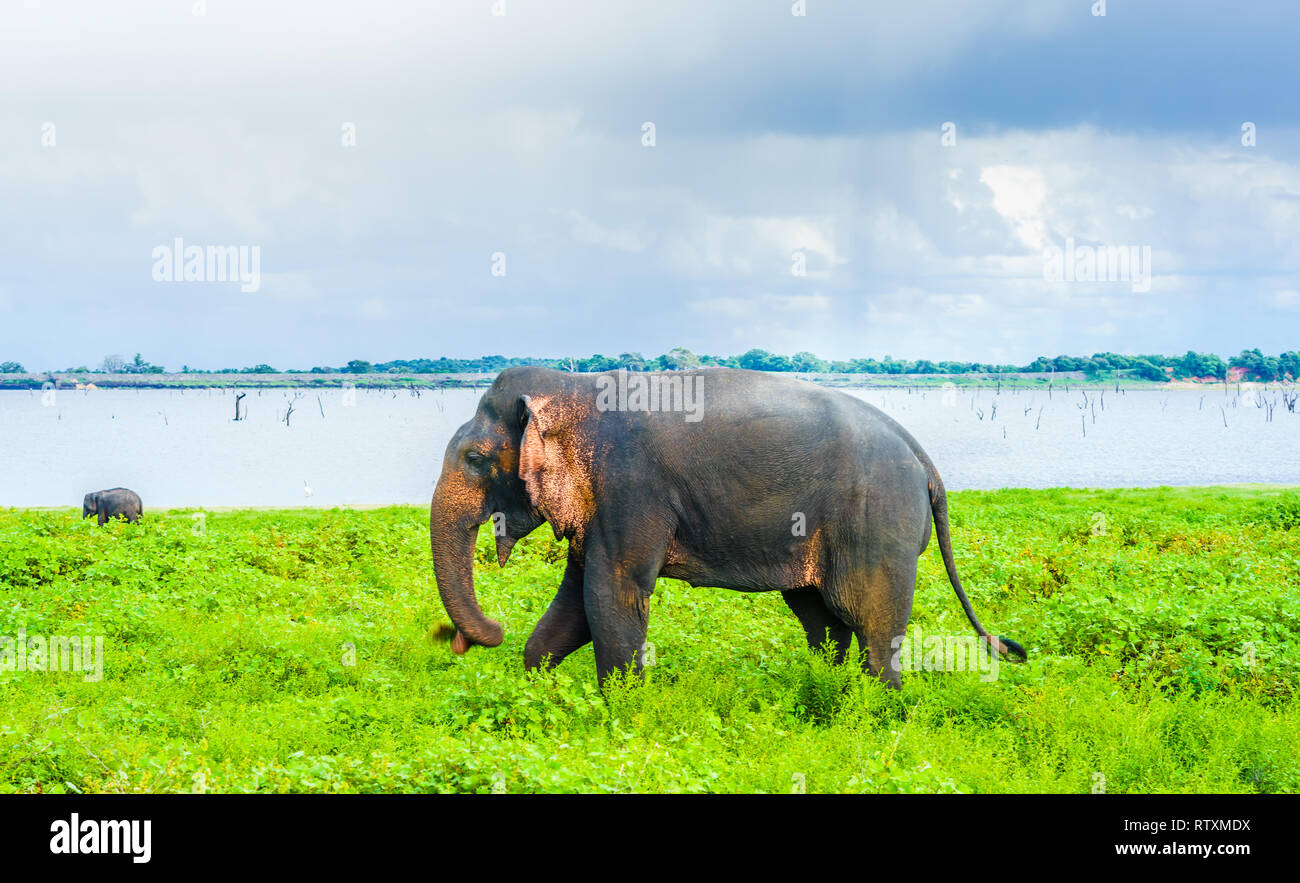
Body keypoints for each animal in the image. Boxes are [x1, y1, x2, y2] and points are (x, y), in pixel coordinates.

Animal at [430, 366, 1025, 688]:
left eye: (476, 459)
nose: (461, 639)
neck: (575, 386)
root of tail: (923, 459)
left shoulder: (631, 488)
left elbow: (611, 592)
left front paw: (621, 710)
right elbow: (576, 601)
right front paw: (539, 683)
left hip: (879, 521)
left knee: (868, 619)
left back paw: (876, 709)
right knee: (821, 617)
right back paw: (829, 689)